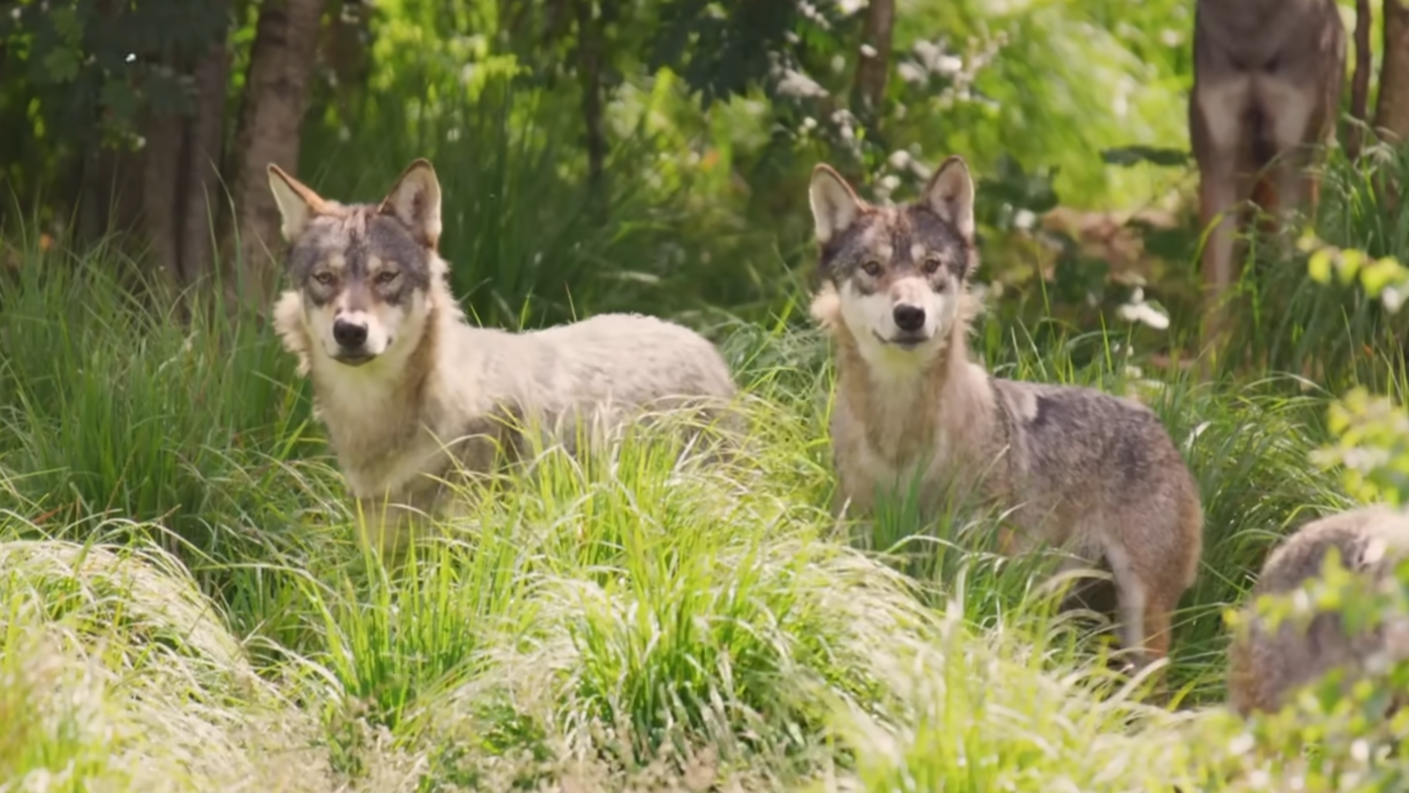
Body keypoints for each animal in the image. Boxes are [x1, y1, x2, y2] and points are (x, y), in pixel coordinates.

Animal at [805, 156, 1205, 668]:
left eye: (931, 265)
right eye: (872, 267)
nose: (910, 314)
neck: (902, 438)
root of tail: (1158, 425)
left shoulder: (973, 566)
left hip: (1140, 621)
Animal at [1191, 0, 1346, 350]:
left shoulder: (1293, 163)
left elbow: (1286, 285)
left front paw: (1283, 359)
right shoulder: (1220, 165)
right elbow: (1216, 304)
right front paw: (1209, 367)